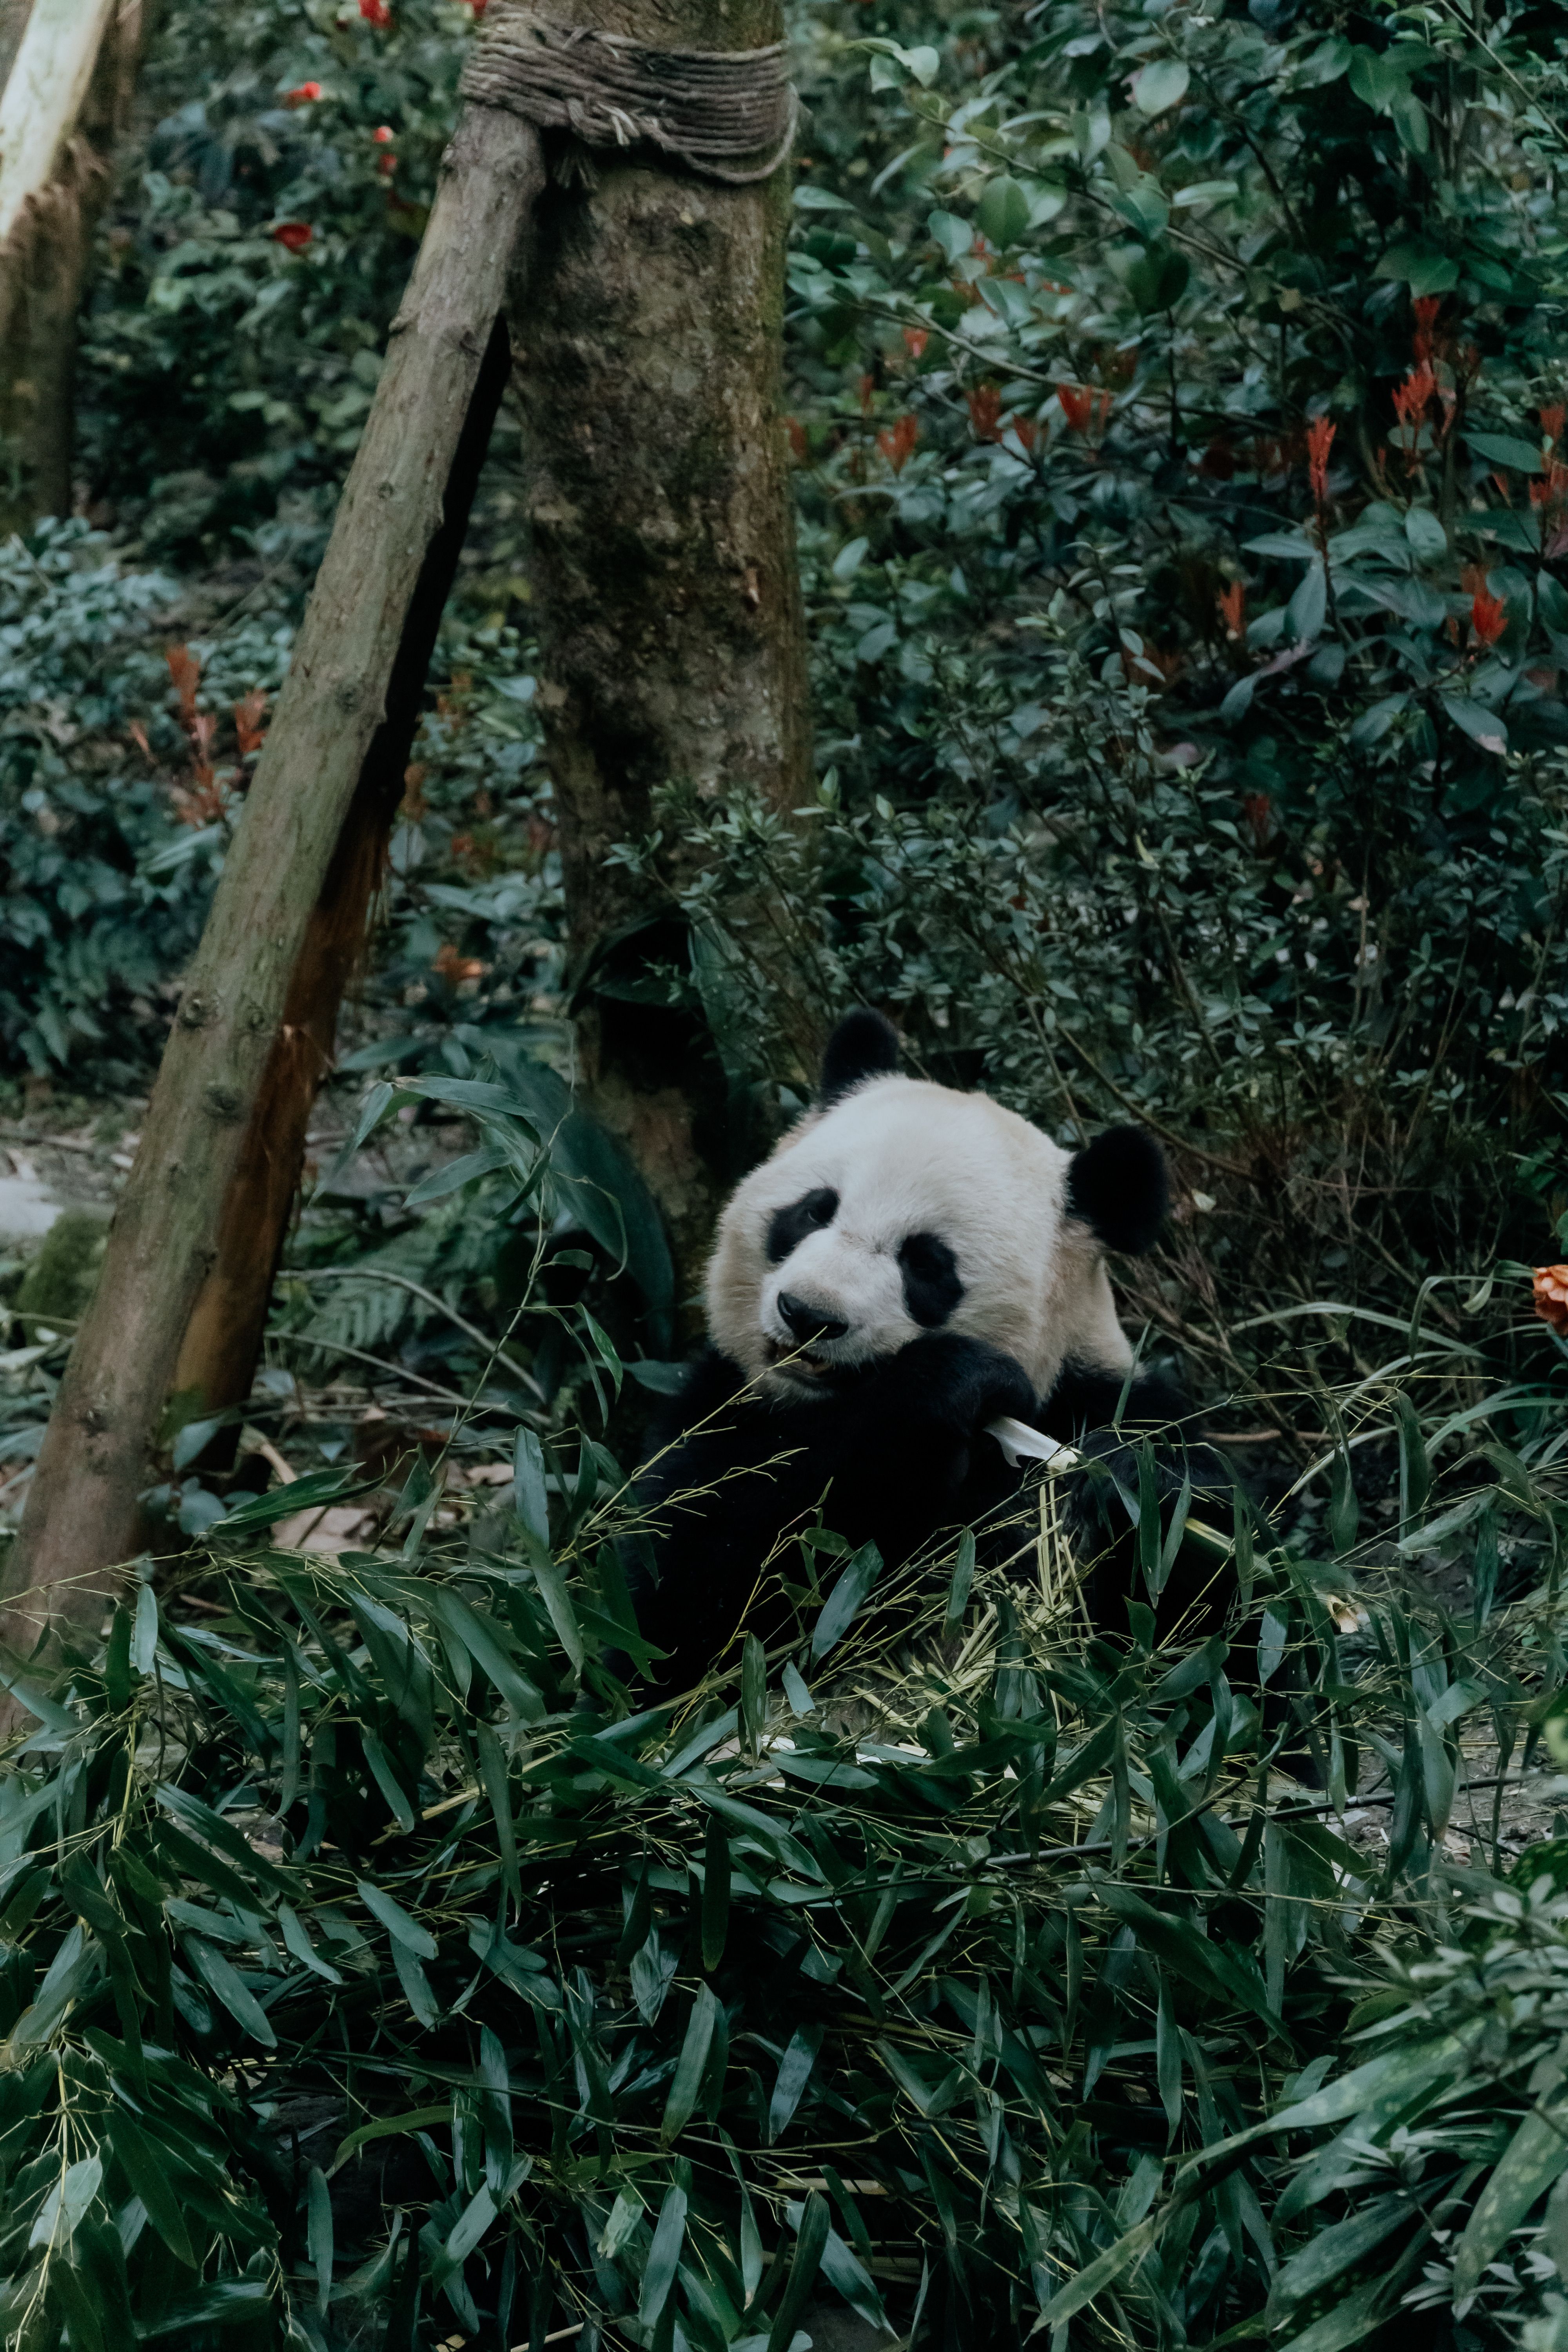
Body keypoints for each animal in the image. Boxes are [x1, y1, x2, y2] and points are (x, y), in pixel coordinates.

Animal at [631, 1009, 1224, 1690]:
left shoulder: (1102, 1394)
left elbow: (1207, 1628)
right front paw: (945, 1389)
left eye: (925, 1264)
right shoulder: (720, 1408)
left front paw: (1130, 1481)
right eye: (813, 1212)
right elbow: (685, 1606)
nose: (809, 1314)